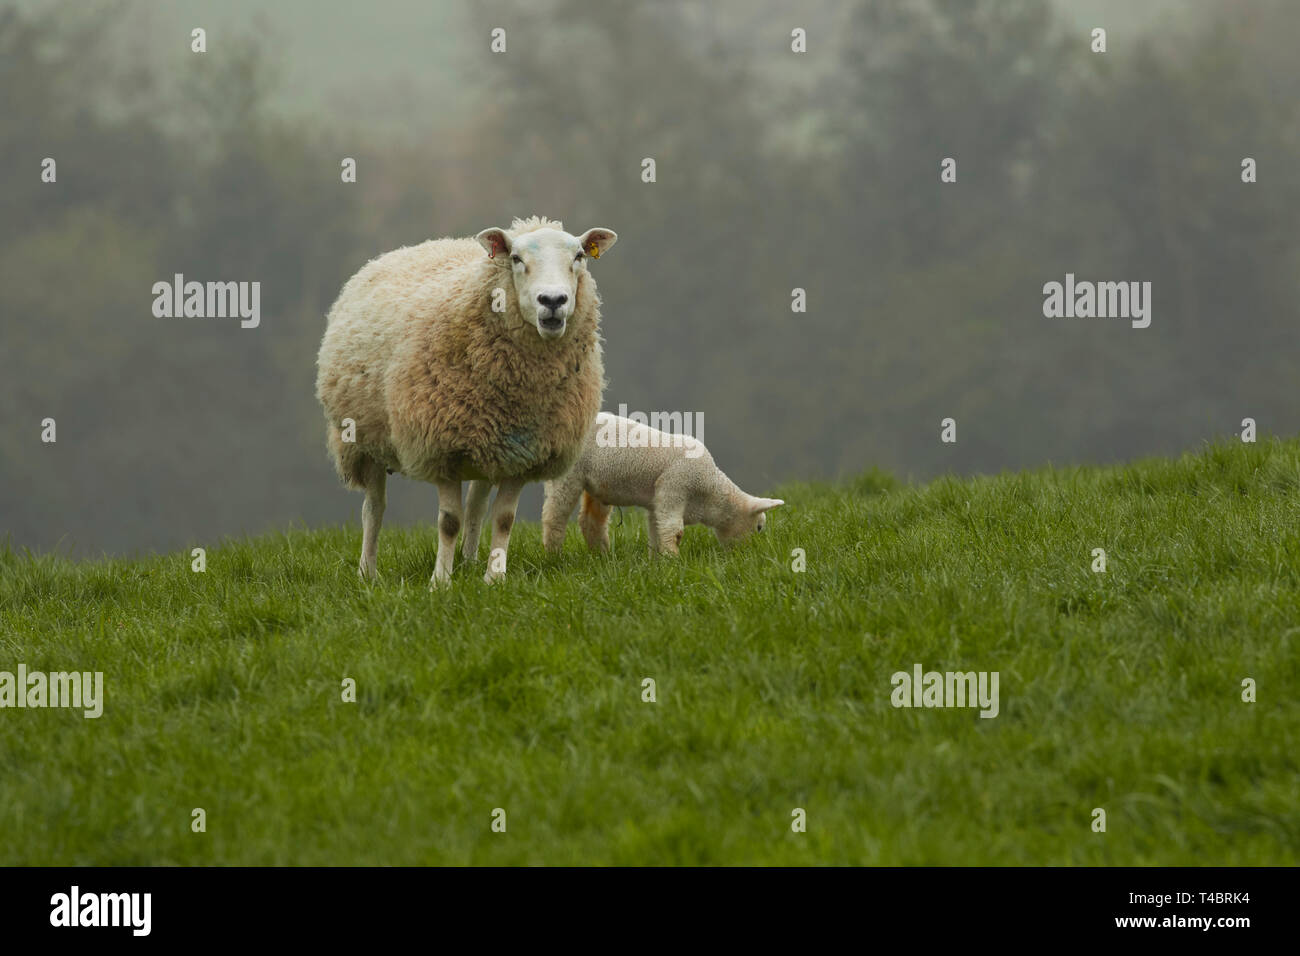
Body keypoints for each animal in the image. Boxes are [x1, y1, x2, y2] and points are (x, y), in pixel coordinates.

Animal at [315, 216, 617, 586]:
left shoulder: (523, 452)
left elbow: (503, 518)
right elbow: (449, 522)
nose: (553, 300)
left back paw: (471, 561)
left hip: (488, 445)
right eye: (516, 258)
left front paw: (494, 578)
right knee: (373, 508)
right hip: (363, 441)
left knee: (476, 504)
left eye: (578, 256)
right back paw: (367, 573)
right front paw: (440, 582)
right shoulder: (441, 447)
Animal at [541, 412, 784, 555]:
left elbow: (656, 530)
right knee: (554, 515)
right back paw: (554, 554)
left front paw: (658, 563)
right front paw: (673, 562)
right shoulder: (674, 488)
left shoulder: (656, 502)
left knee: (591, 521)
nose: (751, 553)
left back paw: (601, 556)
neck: (709, 491)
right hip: (569, 473)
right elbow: (673, 531)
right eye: (759, 527)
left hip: (597, 485)